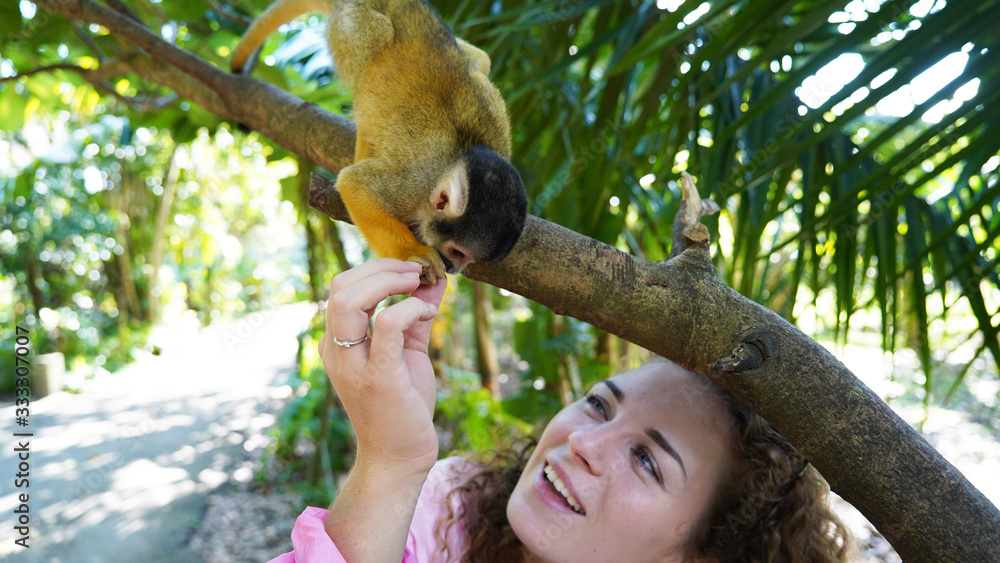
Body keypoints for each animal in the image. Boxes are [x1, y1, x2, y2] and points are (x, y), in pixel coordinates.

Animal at [231, 0, 527, 283]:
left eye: (468, 259)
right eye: (457, 252)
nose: (455, 268)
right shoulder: (413, 185)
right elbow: (353, 184)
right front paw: (413, 252)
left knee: (480, 61)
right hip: (349, 22)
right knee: (376, 37)